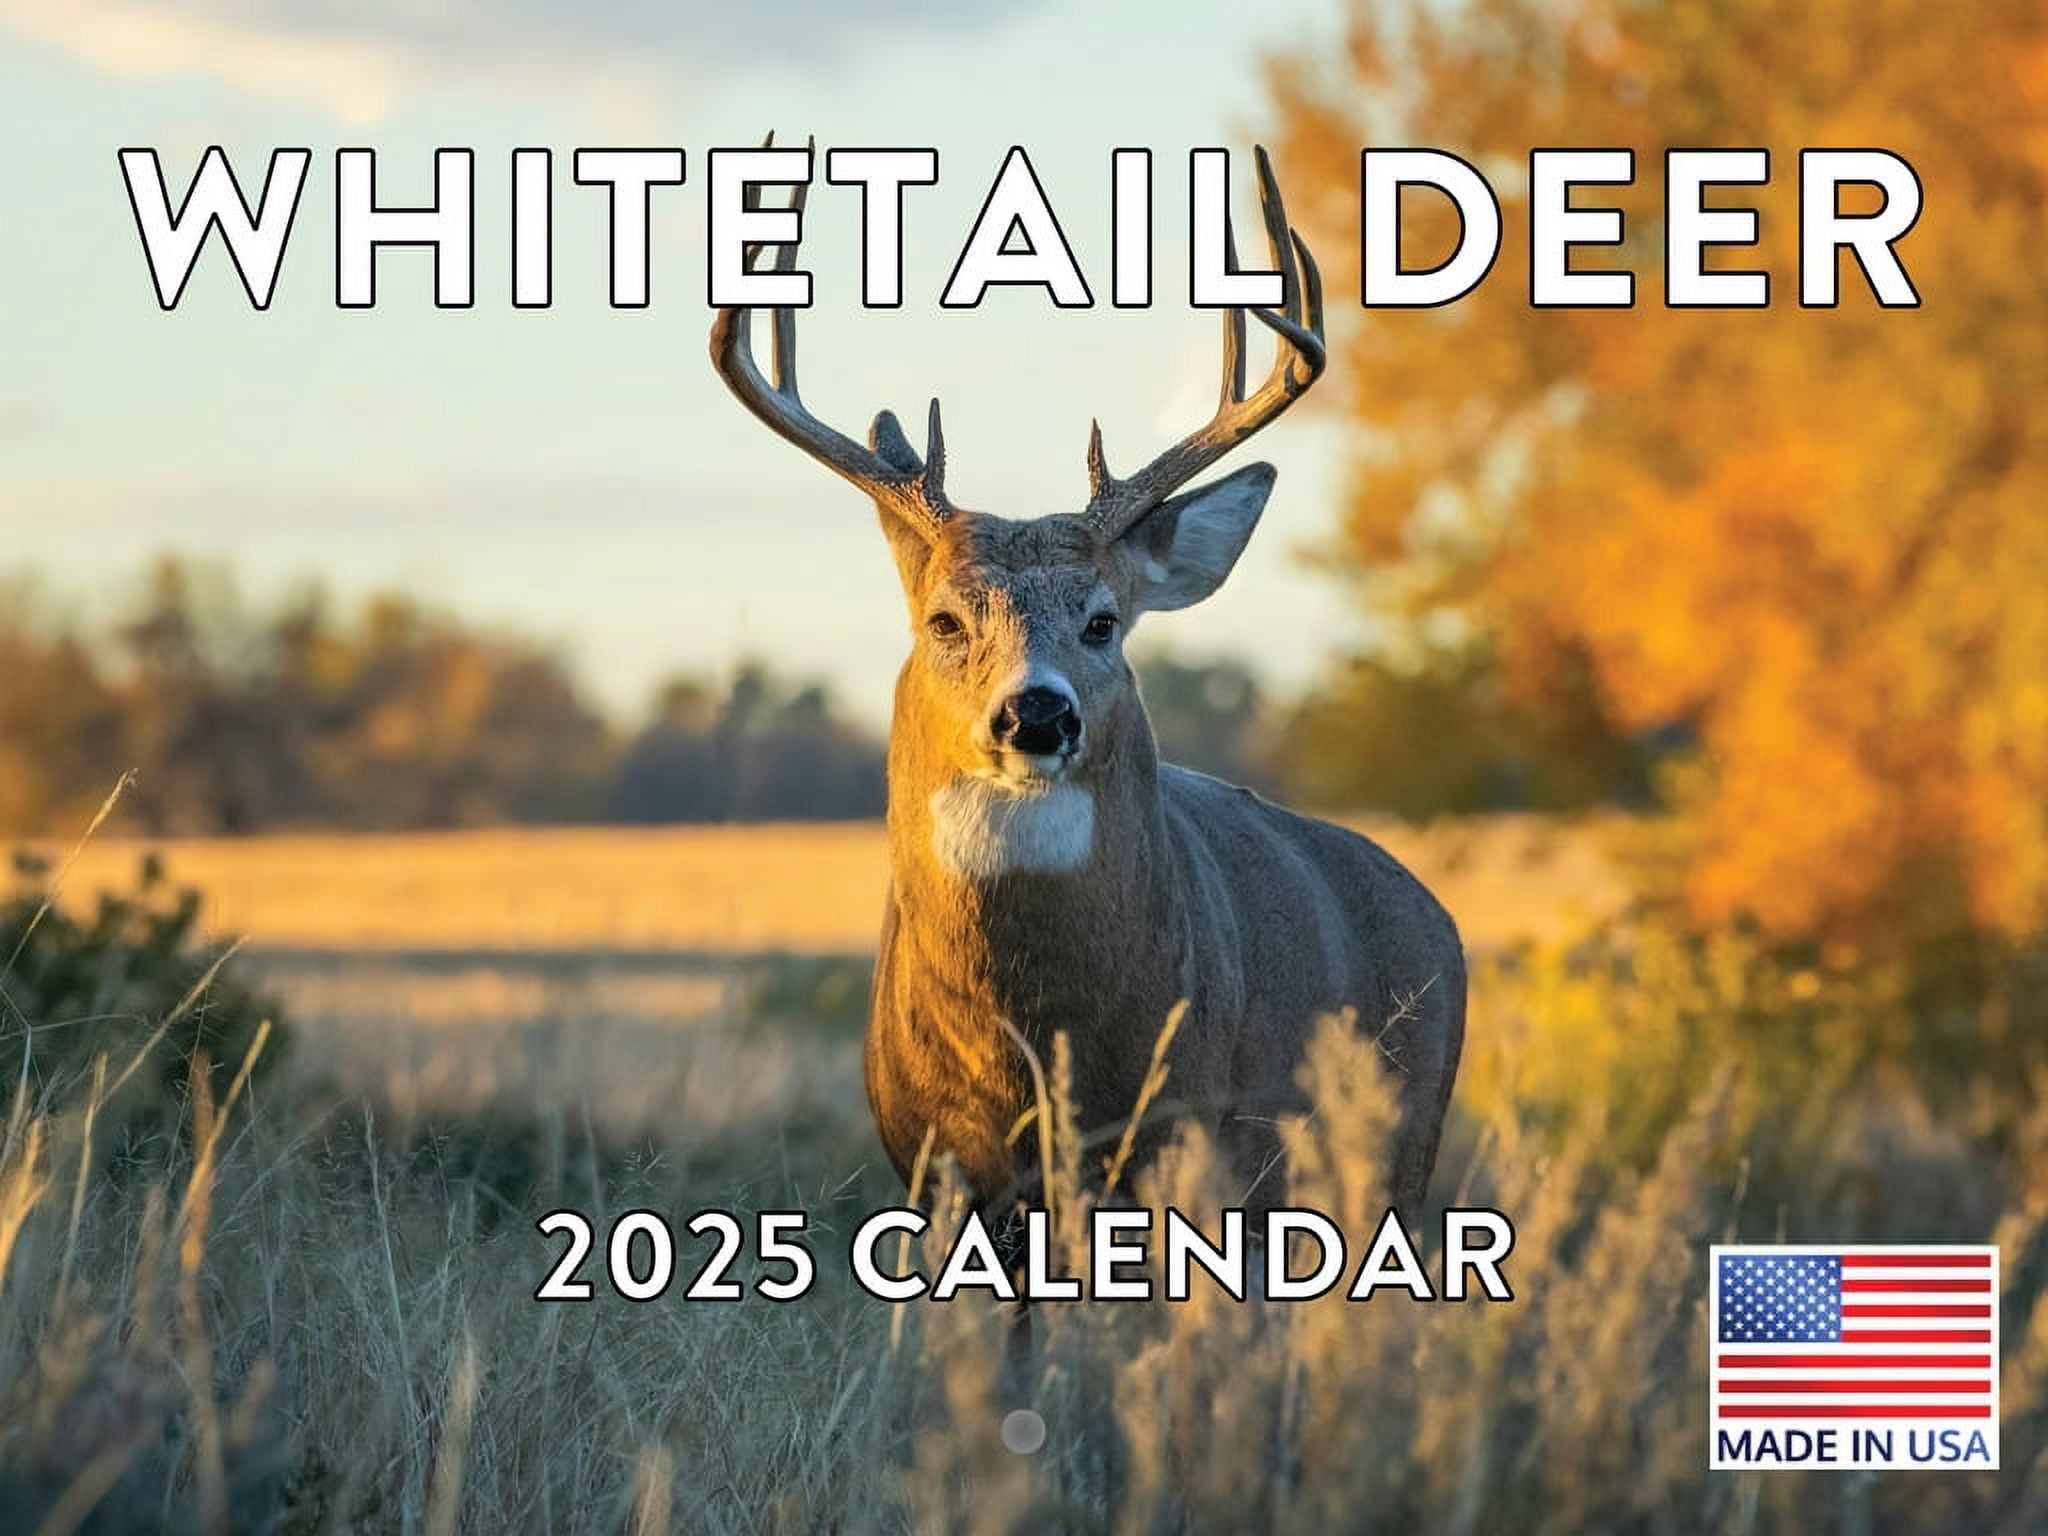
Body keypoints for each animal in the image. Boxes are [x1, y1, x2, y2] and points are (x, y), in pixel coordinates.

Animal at [710, 146, 1465, 1249]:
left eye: (1105, 620)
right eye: (943, 620)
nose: (1037, 713)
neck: (1034, 1045)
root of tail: (1439, 919)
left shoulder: (1180, 1136)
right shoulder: (935, 1166)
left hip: (1387, 1154)